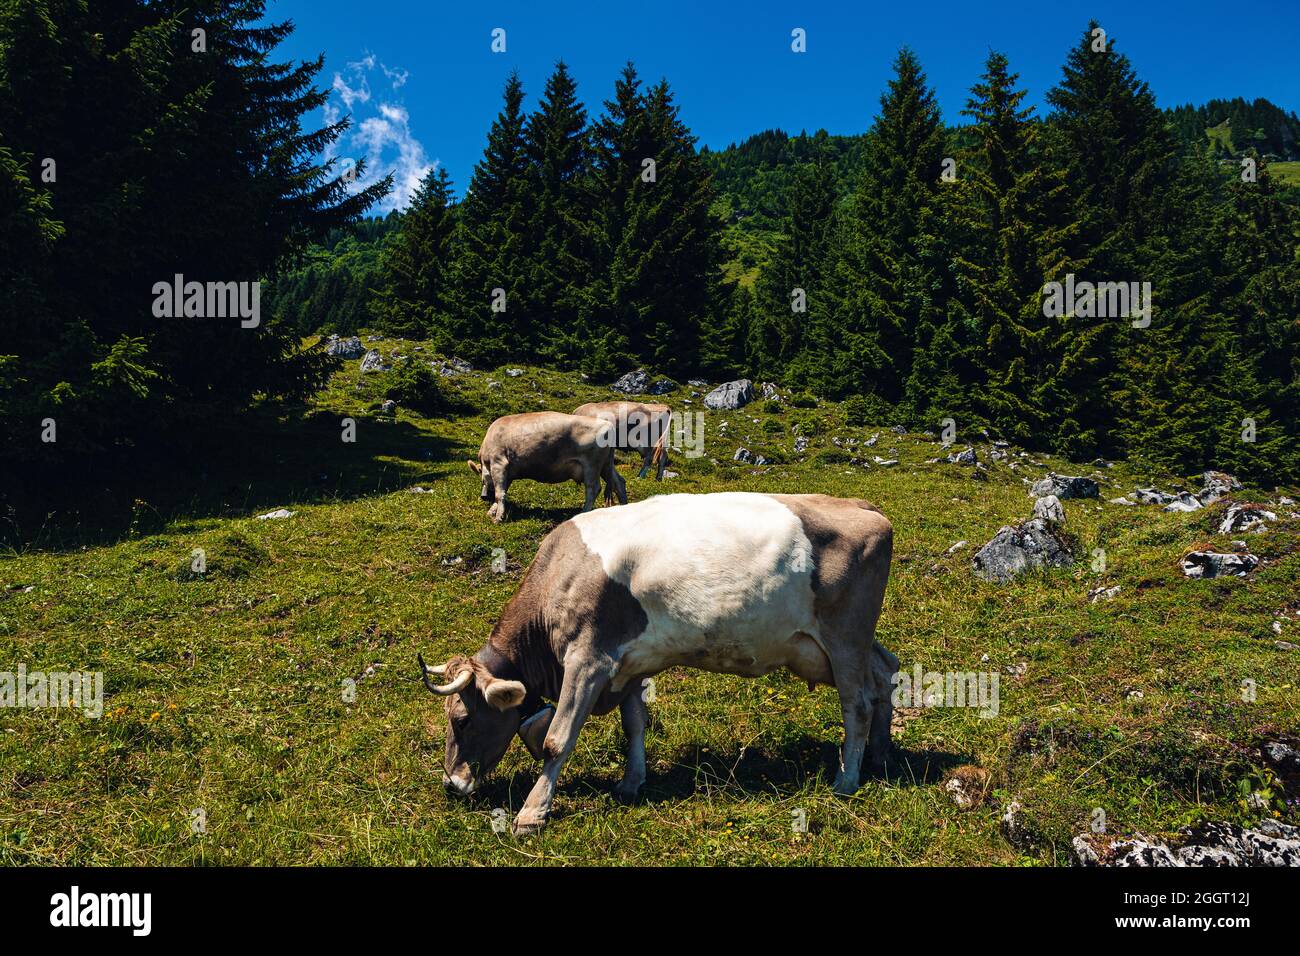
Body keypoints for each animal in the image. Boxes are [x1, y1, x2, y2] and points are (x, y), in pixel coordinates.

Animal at [417, 491, 895, 836]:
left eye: (461, 719)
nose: (451, 784)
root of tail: (862, 506)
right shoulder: (629, 664)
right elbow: (633, 724)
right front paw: (632, 782)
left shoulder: (587, 660)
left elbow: (556, 739)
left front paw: (532, 813)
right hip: (838, 648)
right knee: (886, 673)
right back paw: (880, 755)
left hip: (844, 638)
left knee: (858, 704)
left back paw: (846, 779)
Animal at [468, 411, 628, 523]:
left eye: (482, 479)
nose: (483, 496)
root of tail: (608, 424)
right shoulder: (508, 472)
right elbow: (502, 491)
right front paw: (492, 512)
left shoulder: (499, 462)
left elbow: (499, 493)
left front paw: (498, 517)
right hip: (606, 466)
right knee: (619, 482)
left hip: (592, 465)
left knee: (593, 489)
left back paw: (583, 513)